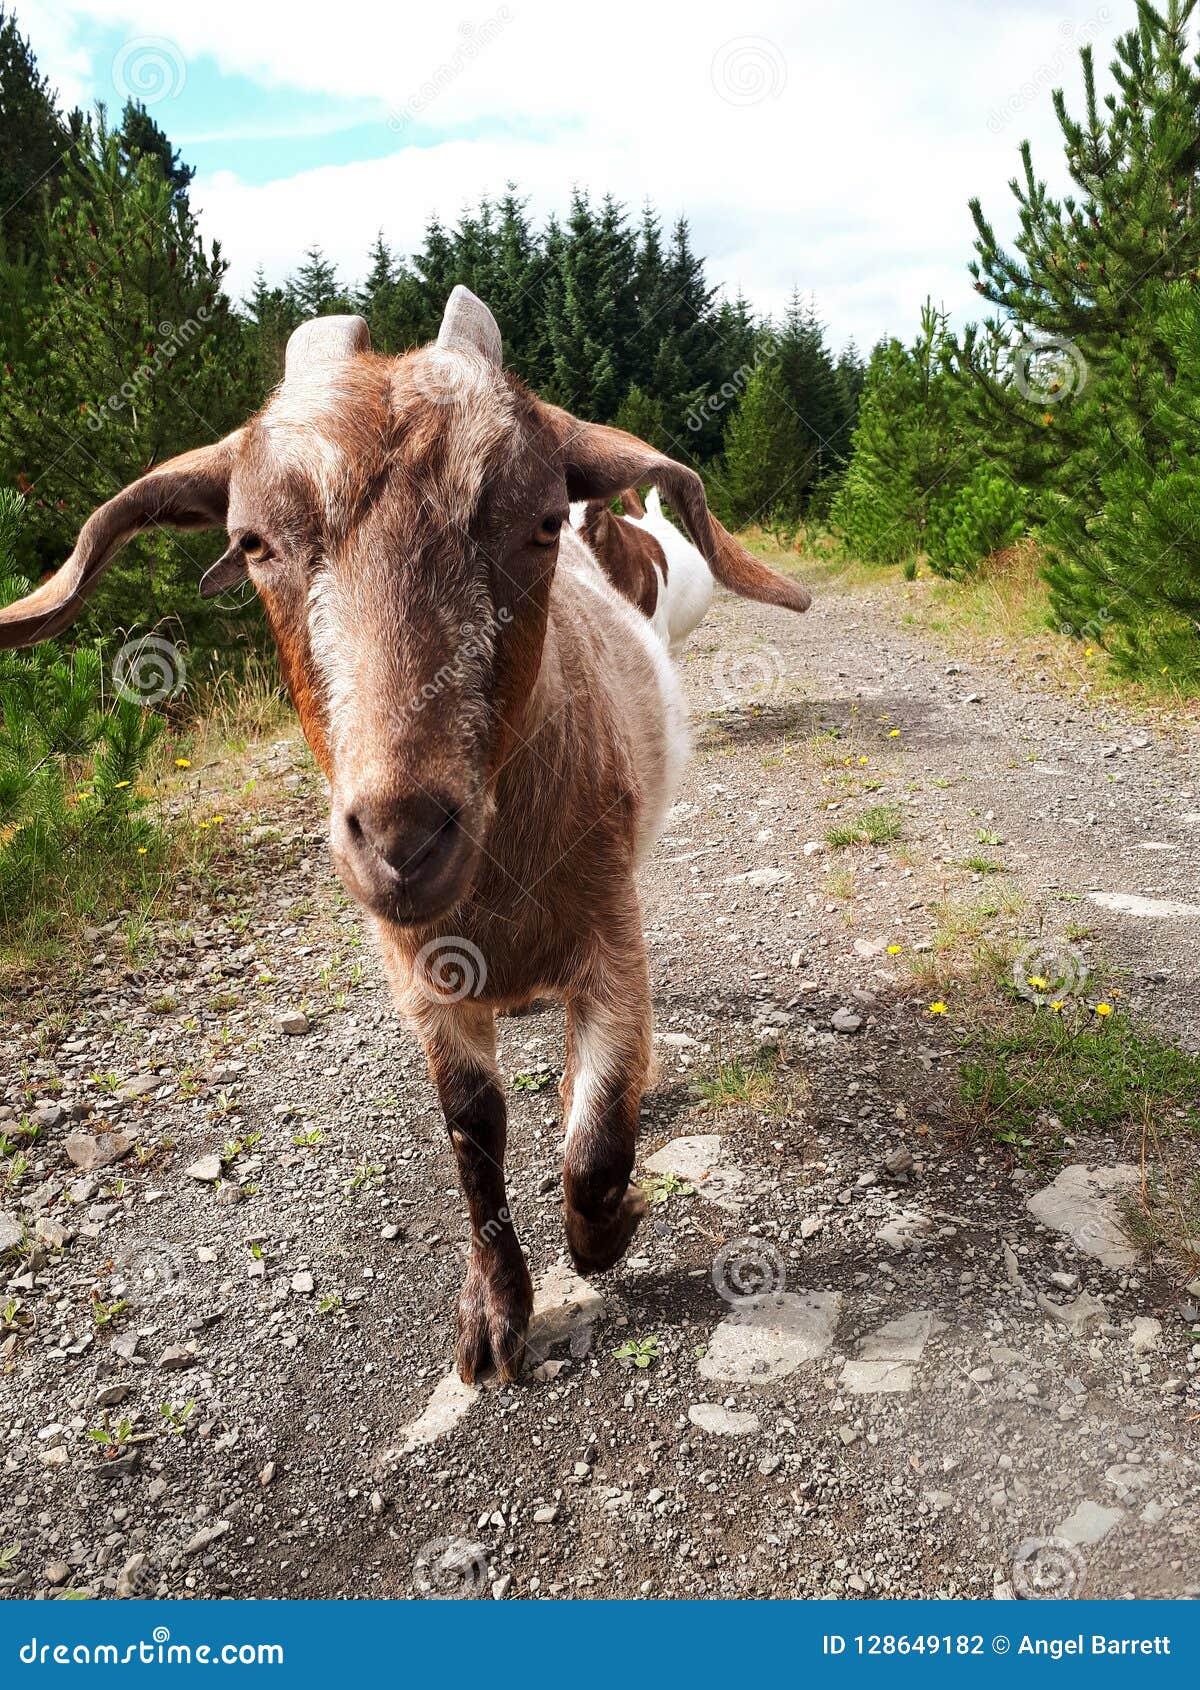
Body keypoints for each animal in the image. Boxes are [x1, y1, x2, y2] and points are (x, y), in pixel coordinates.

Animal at [0, 288, 812, 1384]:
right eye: (254, 541)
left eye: (540, 520)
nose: (404, 835)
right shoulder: (423, 977)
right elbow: (474, 1132)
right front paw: (495, 1320)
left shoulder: (612, 935)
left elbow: (599, 1141)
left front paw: (607, 1232)